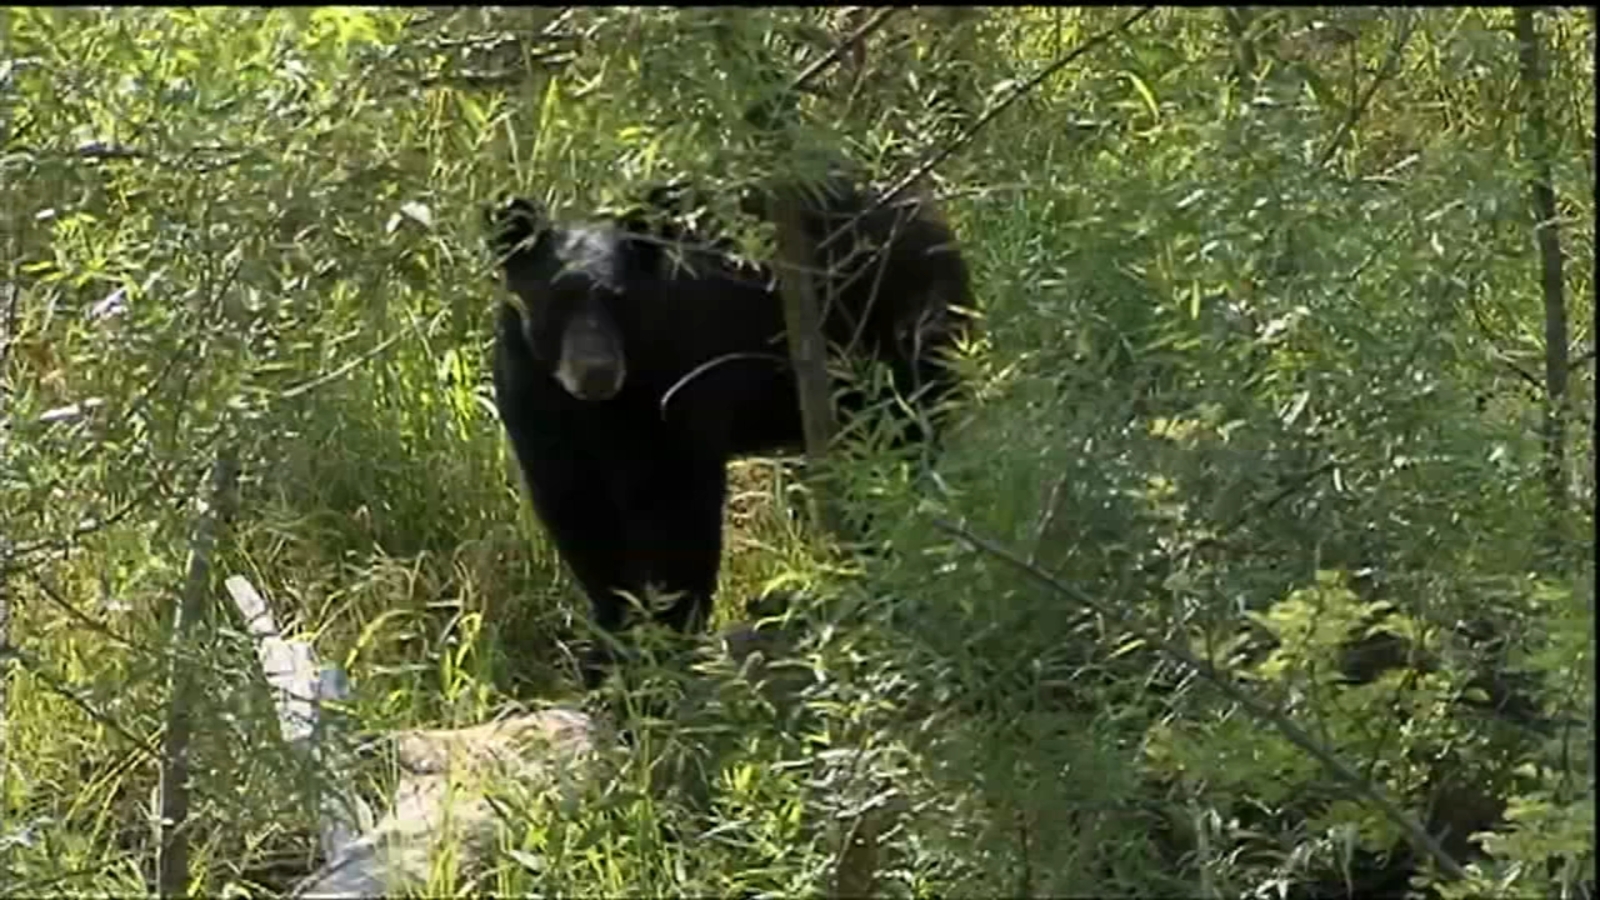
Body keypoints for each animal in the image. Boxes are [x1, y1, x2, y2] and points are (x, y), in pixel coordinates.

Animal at [484, 175, 976, 688]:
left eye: (619, 300)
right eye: (556, 301)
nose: (596, 371)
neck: (594, 410)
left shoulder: (671, 384)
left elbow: (674, 505)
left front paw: (665, 640)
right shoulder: (533, 403)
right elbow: (578, 512)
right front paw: (607, 647)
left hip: (895, 329)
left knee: (903, 439)